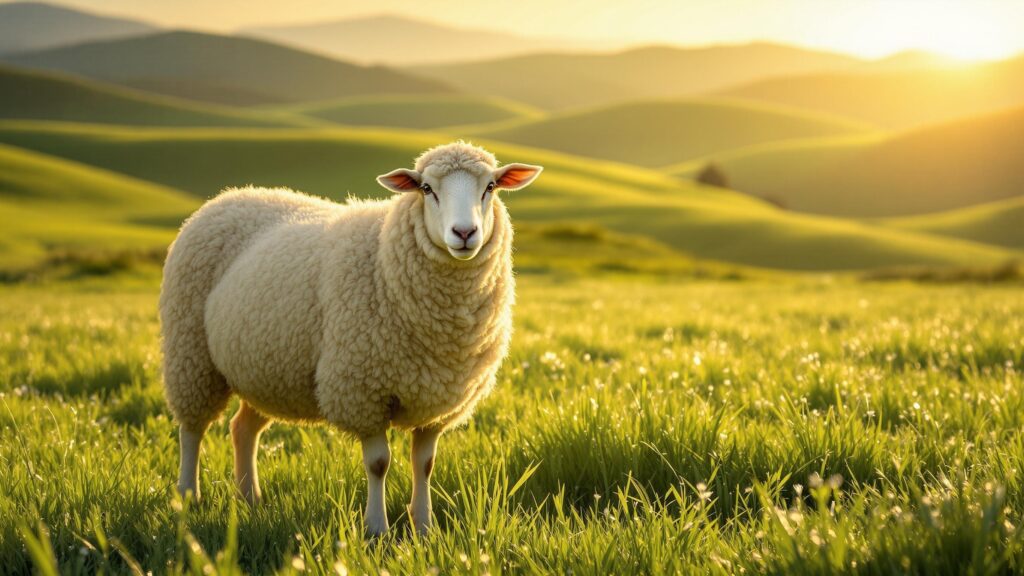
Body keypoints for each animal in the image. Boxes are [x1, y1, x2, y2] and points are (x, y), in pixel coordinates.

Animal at [159, 141, 542, 535]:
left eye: (490, 187)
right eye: (426, 189)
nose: (464, 233)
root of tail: (228, 196)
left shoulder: (436, 401)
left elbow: (424, 464)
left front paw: (424, 527)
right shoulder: (362, 391)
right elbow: (378, 463)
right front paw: (376, 529)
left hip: (264, 370)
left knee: (242, 429)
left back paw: (249, 498)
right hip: (190, 354)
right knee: (191, 429)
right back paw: (188, 495)